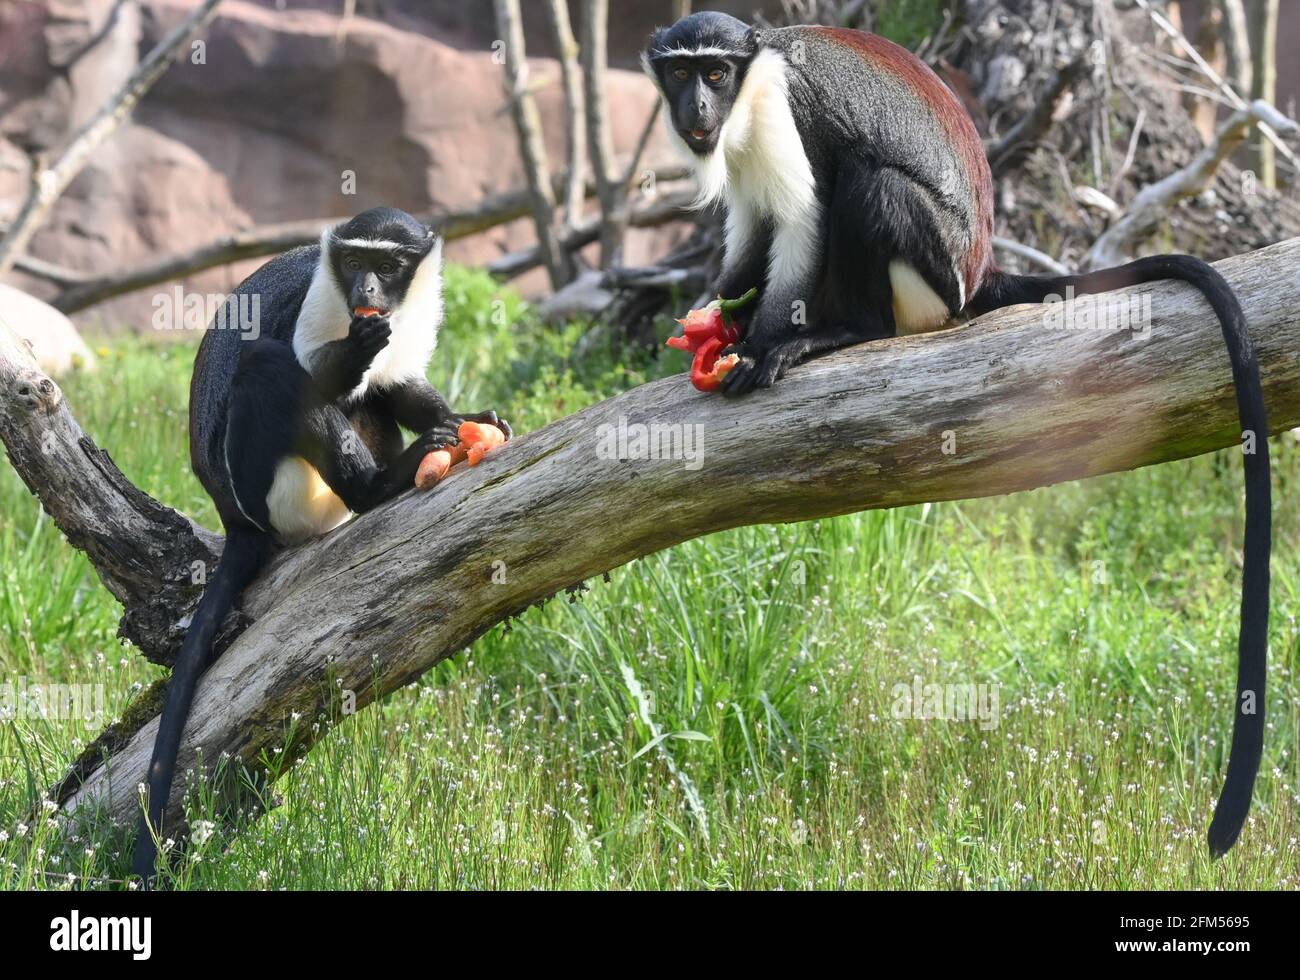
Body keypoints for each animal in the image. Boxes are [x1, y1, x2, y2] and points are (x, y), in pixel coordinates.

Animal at [132, 207, 509, 883]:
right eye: (354, 263)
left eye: (387, 265)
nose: (366, 291)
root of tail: (237, 521)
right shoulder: (319, 304)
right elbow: (309, 367)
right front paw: (358, 352)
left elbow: (400, 382)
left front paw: (468, 420)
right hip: (274, 487)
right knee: (269, 366)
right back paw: (376, 486)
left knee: (374, 396)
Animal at [644, 12, 1270, 855]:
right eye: (682, 75)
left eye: (716, 73)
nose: (698, 111)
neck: (748, 89)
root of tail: (977, 275)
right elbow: (750, 234)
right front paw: (717, 325)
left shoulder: (778, 112)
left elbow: (800, 221)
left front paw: (762, 345)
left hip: (925, 268)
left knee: (866, 184)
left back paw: (840, 334)